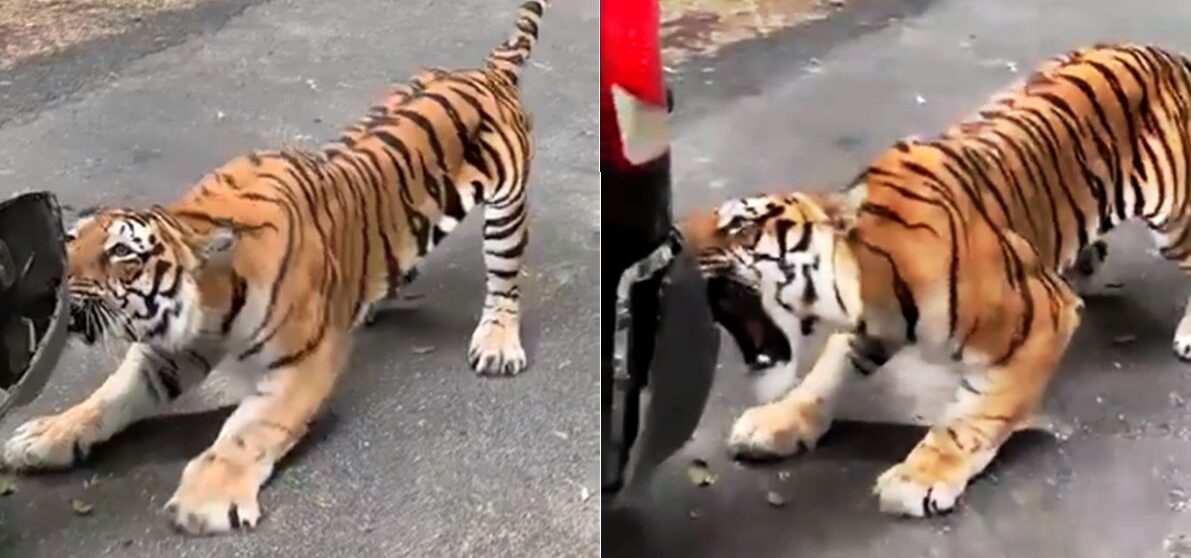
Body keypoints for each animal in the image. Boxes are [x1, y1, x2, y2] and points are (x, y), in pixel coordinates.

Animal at [0, 0, 548, 535]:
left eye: (121, 254)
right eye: (72, 239)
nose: (50, 276)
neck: (209, 302)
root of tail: (485, 71)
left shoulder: (304, 361)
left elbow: (250, 431)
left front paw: (207, 500)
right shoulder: (167, 355)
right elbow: (106, 399)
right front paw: (45, 435)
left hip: (506, 210)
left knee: (504, 284)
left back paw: (497, 345)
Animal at [682, 42, 1191, 518]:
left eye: (738, 226)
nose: (676, 237)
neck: (867, 279)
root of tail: (1166, 54)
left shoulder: (1044, 317)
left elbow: (975, 416)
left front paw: (921, 477)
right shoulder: (868, 329)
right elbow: (823, 377)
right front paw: (777, 422)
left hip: (1174, 220)